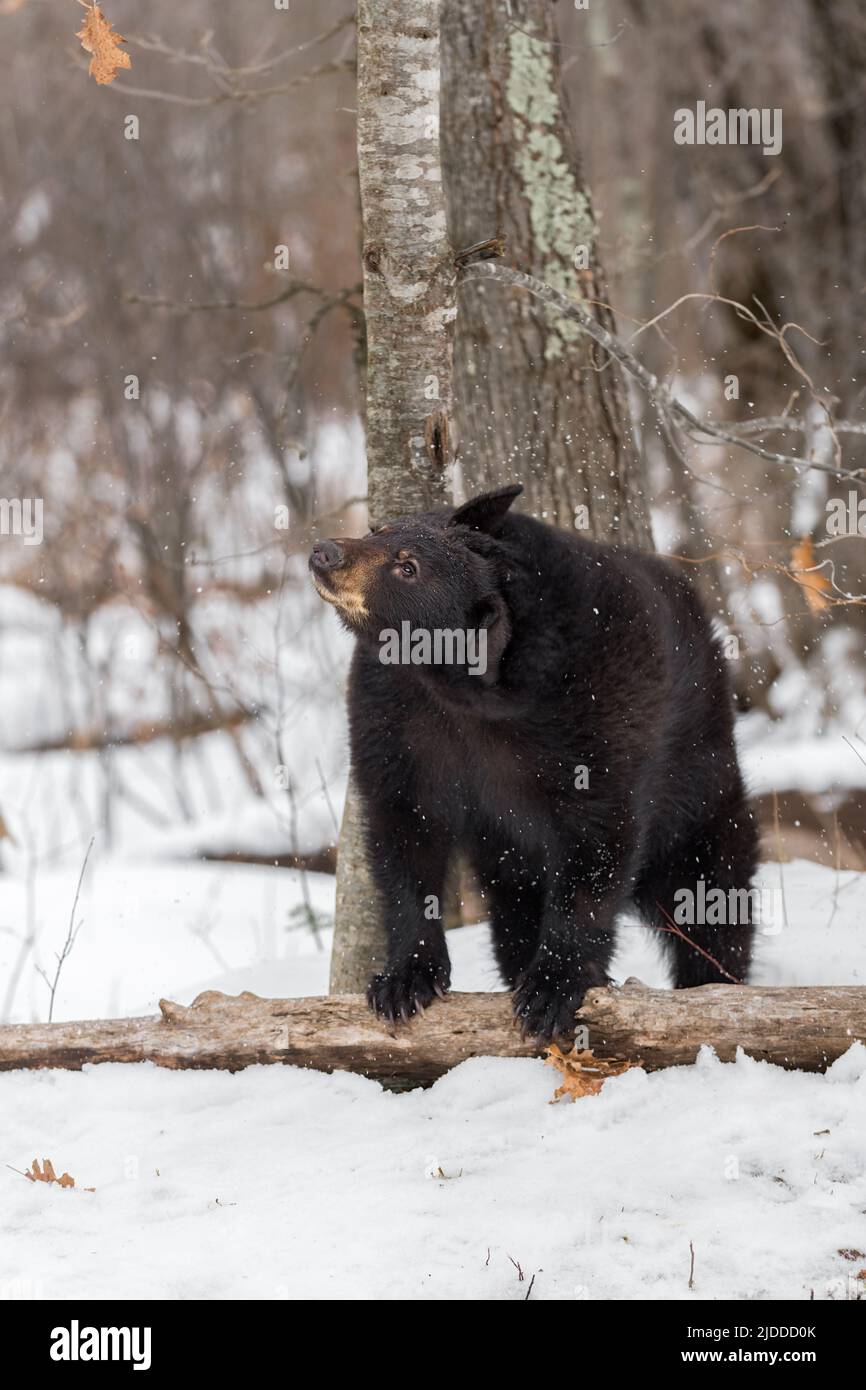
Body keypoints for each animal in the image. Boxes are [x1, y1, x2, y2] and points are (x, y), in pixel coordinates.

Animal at [310, 484, 758, 1042]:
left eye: (408, 566)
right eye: (380, 530)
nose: (325, 551)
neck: (472, 693)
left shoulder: (596, 711)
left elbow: (596, 841)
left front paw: (551, 989)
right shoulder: (395, 712)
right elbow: (405, 828)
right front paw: (403, 980)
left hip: (700, 786)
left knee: (711, 893)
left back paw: (712, 983)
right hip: (508, 863)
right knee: (514, 920)